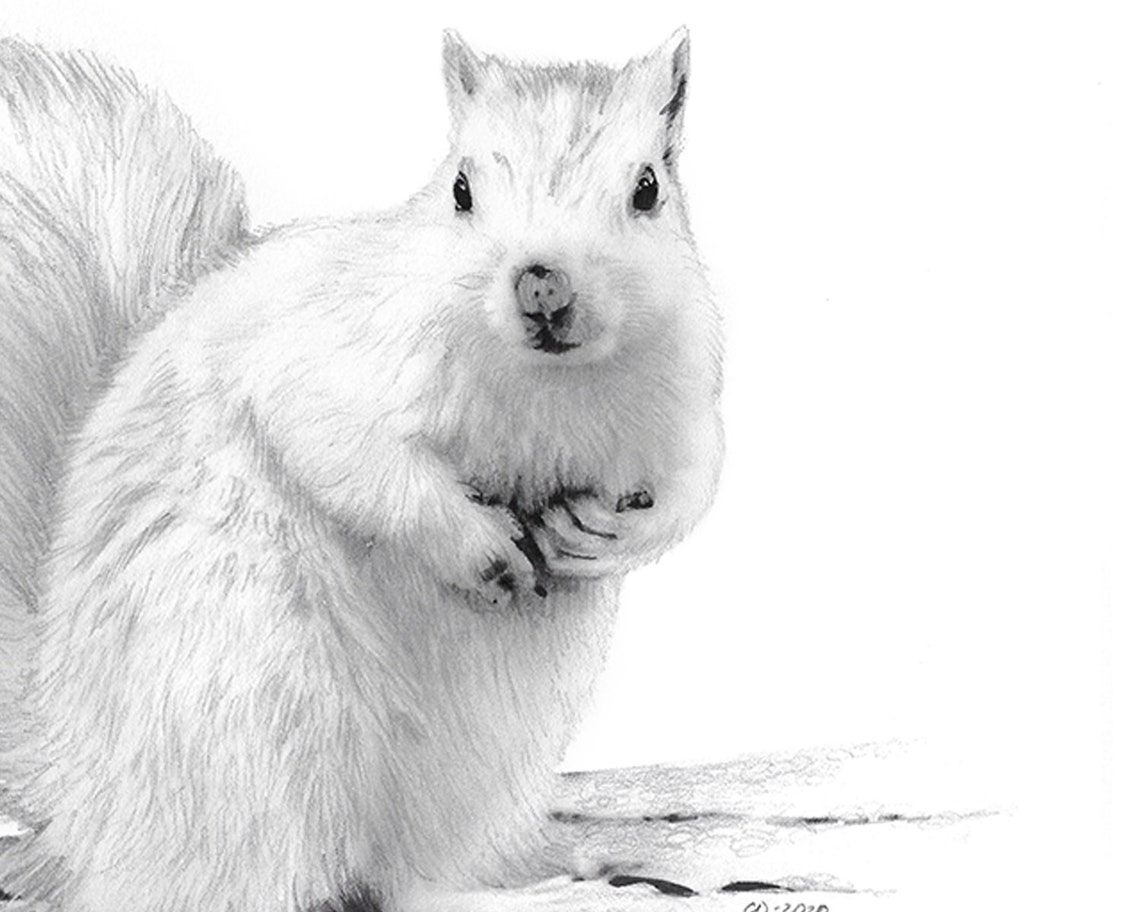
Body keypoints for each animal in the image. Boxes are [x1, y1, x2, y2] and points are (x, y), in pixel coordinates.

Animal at [0, 28, 723, 912]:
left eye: (648, 188)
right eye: (461, 189)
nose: (542, 284)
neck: (546, 385)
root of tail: (81, 806)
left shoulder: (687, 403)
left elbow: (695, 485)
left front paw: (607, 538)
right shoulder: (321, 362)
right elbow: (352, 457)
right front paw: (478, 548)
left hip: (475, 761)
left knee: (408, 869)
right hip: (261, 707)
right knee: (281, 876)